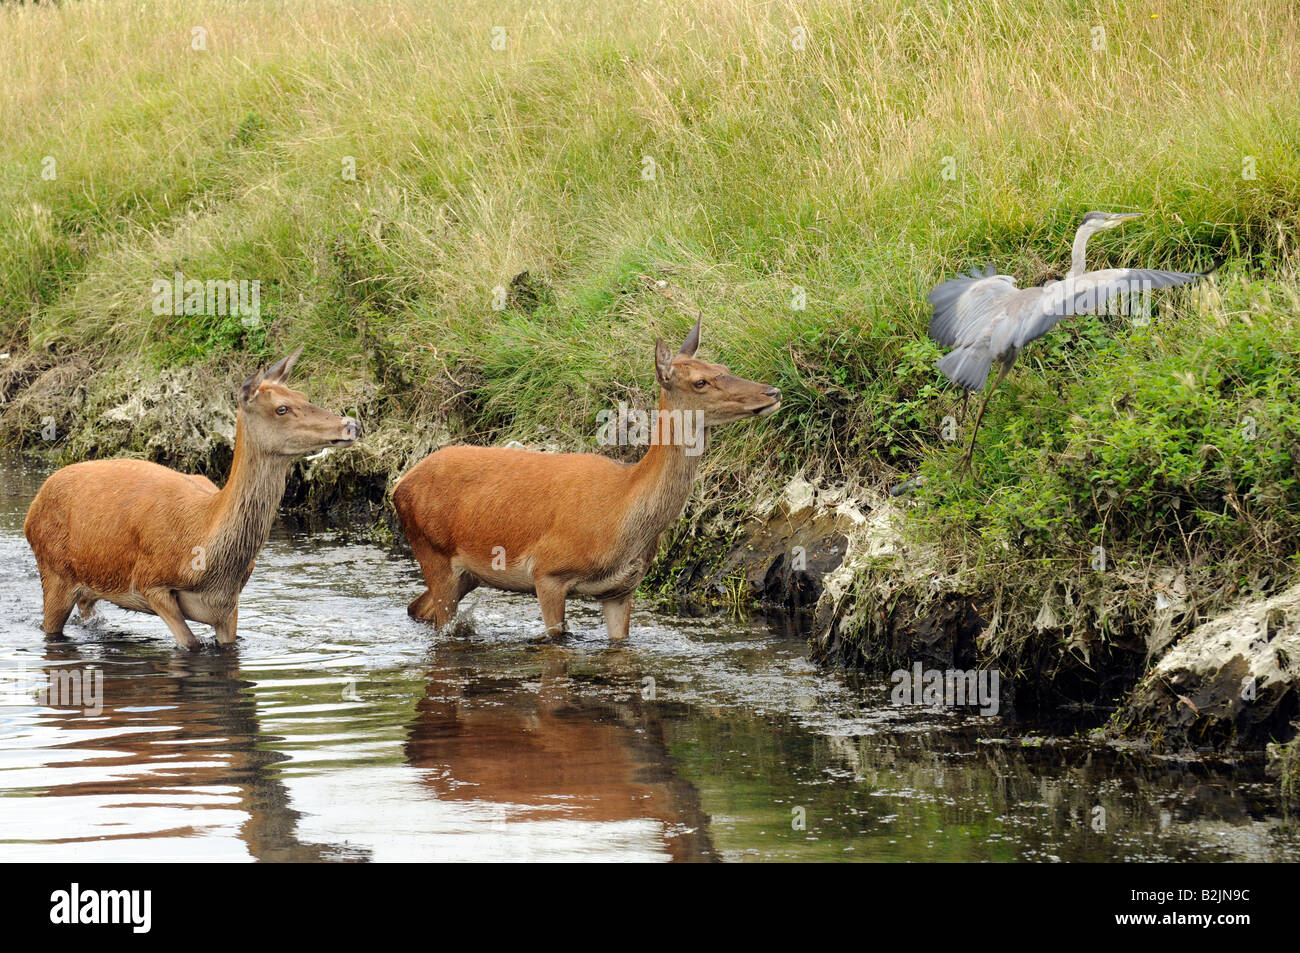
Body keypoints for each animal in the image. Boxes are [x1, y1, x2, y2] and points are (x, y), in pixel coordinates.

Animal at [24, 348, 360, 650]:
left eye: (303, 395)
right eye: (281, 408)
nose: (351, 424)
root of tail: (32, 509)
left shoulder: (229, 604)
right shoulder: (151, 581)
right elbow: (192, 644)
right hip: (54, 570)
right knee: (49, 624)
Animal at [392, 315, 781, 640]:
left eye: (723, 366)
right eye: (701, 381)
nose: (773, 392)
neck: (621, 511)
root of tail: (399, 485)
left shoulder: (621, 590)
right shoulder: (548, 572)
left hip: (466, 574)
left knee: (416, 607)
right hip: (432, 551)